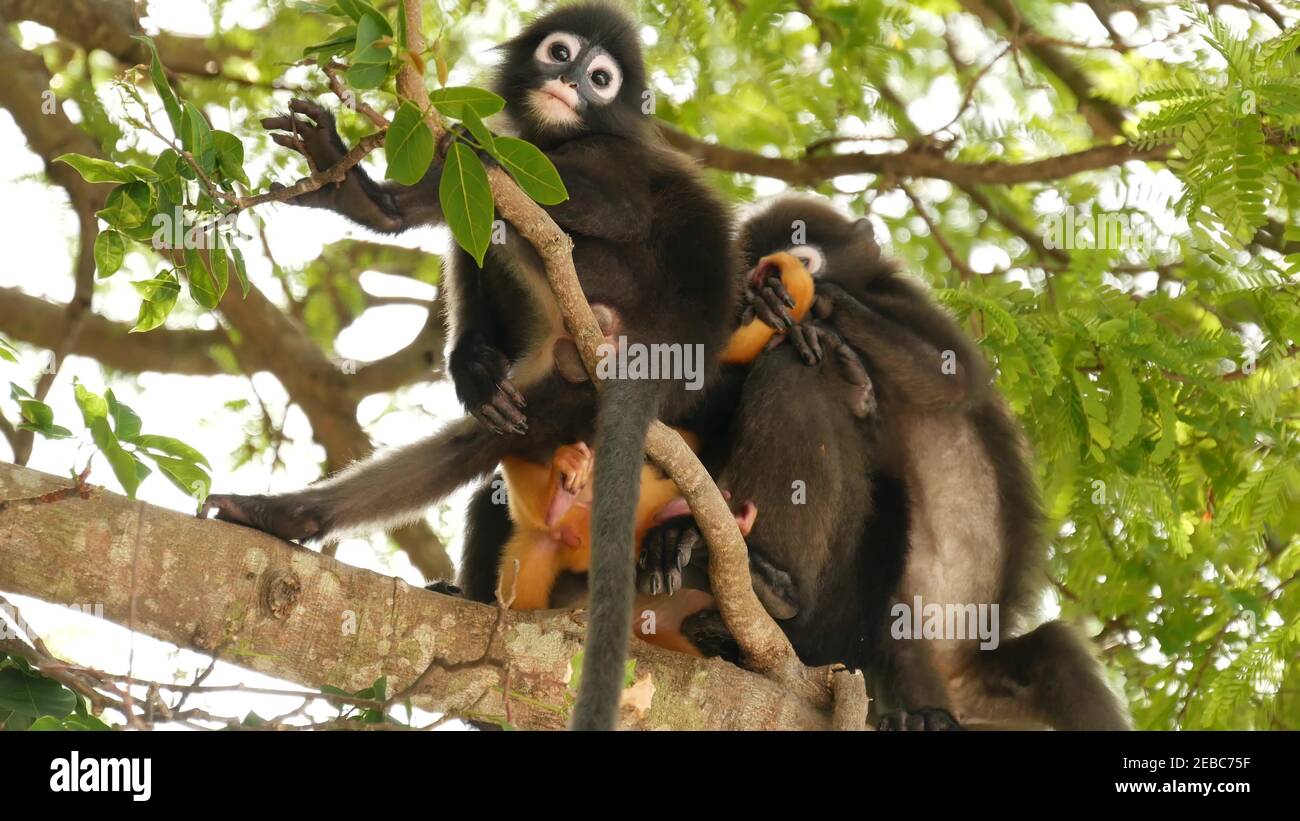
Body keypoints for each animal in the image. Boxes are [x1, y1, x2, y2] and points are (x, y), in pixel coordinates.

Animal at [203, 2, 741, 730]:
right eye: (560, 53)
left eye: (600, 79)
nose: (569, 81)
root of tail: (666, 343)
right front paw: (356, 189)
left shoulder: (608, 153)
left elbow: (594, 201)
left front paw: (455, 146)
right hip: (568, 391)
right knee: (478, 436)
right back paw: (286, 515)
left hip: (600, 275)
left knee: (520, 216)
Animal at [642, 193, 1132, 730]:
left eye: (805, 259)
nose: (768, 279)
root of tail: (954, 682)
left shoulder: (908, 300)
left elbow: (952, 377)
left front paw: (825, 312)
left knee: (1056, 656)